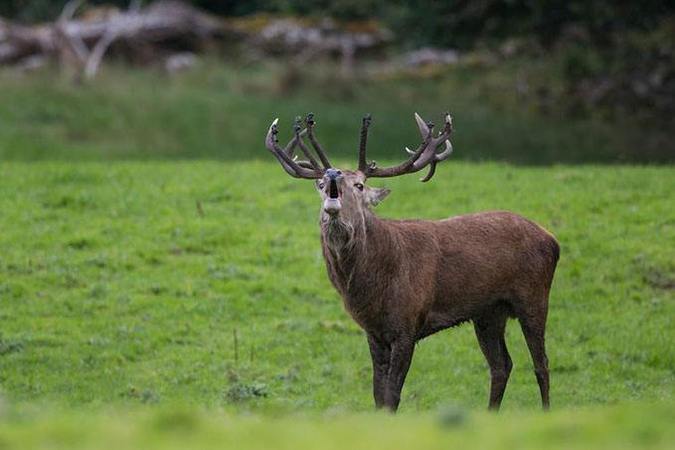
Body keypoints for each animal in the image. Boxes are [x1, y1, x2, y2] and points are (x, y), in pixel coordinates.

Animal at [263, 112, 560, 412]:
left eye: (359, 185)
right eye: (322, 185)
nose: (332, 174)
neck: (371, 288)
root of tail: (552, 239)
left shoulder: (408, 324)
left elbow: (392, 395)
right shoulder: (374, 332)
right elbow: (378, 395)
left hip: (534, 296)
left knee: (541, 364)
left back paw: (546, 411)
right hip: (489, 312)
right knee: (501, 365)